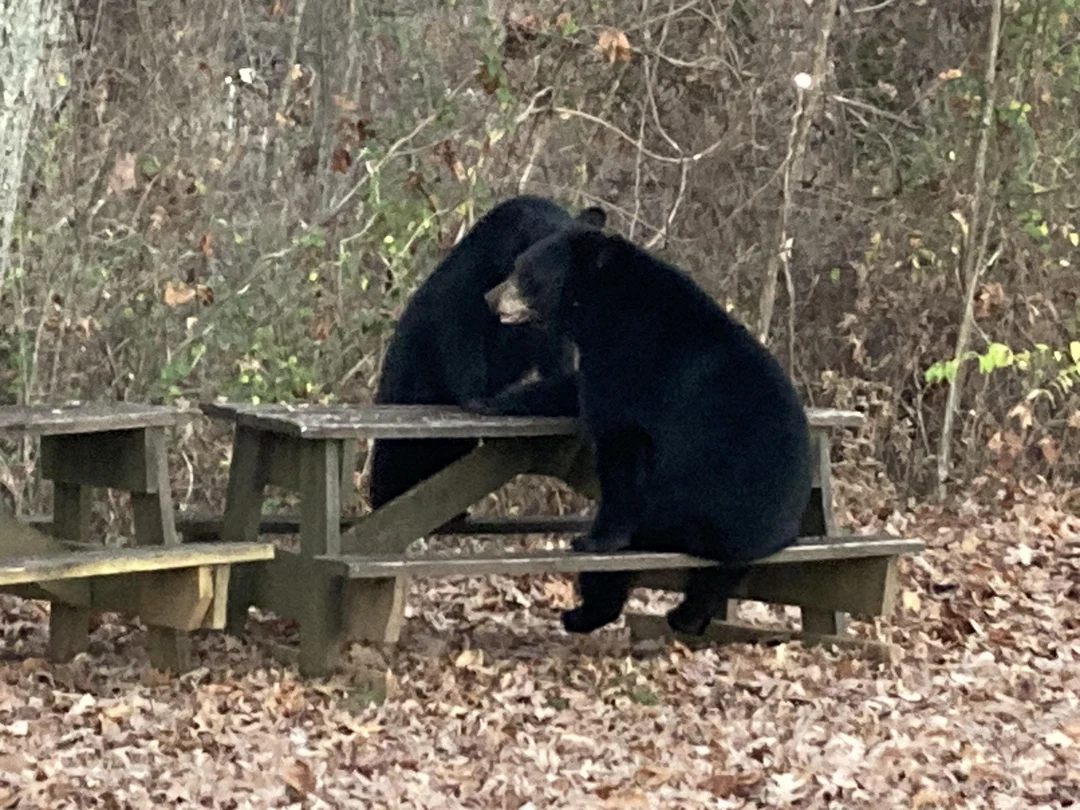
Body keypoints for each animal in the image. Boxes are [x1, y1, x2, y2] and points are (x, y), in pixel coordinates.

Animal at [467, 217, 813, 636]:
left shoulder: (633, 359)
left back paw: (585, 613)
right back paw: (684, 616)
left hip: (680, 515)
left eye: (525, 272)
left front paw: (595, 540)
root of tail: (782, 531)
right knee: (716, 578)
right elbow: (572, 390)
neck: (604, 305)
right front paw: (487, 401)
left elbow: (618, 442)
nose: (489, 297)